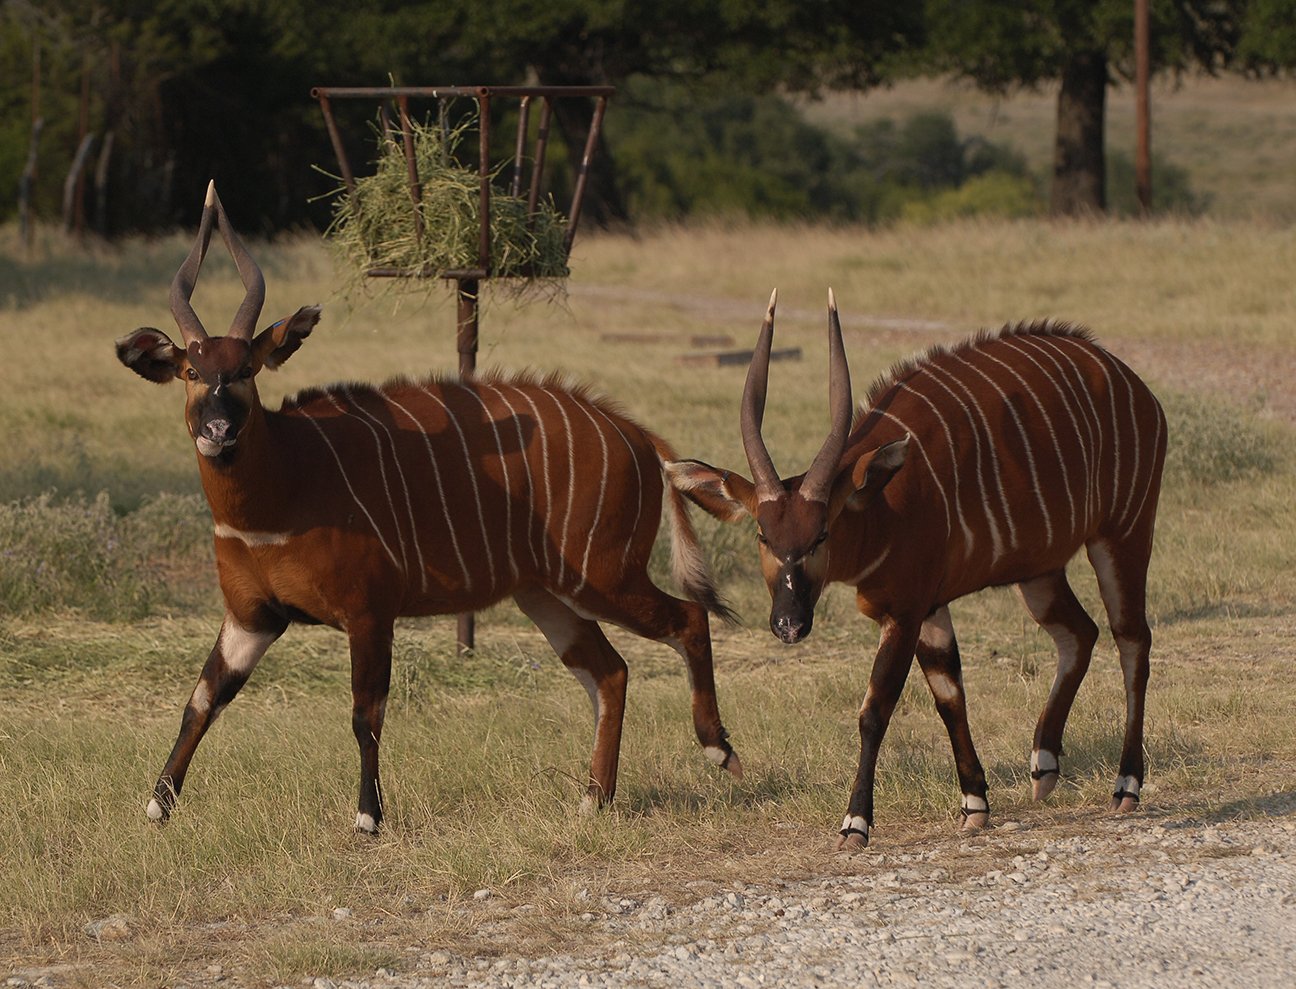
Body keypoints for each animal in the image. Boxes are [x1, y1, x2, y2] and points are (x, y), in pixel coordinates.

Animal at [115, 182, 742, 833]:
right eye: (191, 370)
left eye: (245, 370)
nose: (217, 432)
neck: (284, 485)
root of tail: (640, 438)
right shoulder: (251, 617)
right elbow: (202, 699)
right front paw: (157, 806)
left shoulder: (369, 612)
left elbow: (365, 713)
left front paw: (368, 818)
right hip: (547, 594)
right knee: (610, 670)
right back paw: (595, 797)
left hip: (604, 576)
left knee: (688, 619)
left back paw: (719, 750)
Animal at [669, 290, 1166, 850]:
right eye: (763, 535)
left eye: (821, 533)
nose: (788, 625)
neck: (882, 504)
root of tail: (1130, 382)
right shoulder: (931, 609)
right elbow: (949, 695)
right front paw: (975, 803)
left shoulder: (904, 612)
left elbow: (875, 708)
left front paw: (856, 823)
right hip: (1039, 573)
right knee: (1079, 633)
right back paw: (1044, 765)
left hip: (1122, 536)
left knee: (1132, 638)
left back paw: (1127, 784)